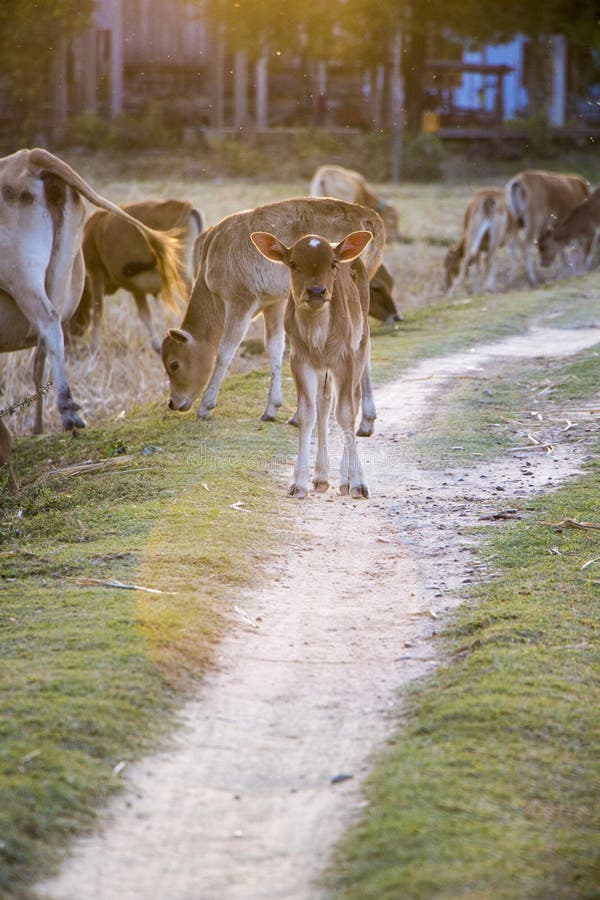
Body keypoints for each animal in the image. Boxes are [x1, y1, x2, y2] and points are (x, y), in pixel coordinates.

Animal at [0, 148, 184, 434]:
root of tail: (30, 157)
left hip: (23, 278)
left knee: (48, 325)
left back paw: (65, 411)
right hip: (59, 274)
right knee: (43, 352)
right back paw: (40, 427)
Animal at [70, 199, 204, 352]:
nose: (69, 341)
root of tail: (187, 207)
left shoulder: (96, 275)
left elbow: (98, 311)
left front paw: (94, 347)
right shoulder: (137, 290)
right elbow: (145, 316)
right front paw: (157, 346)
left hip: (182, 272)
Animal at [161, 197, 385, 434]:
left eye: (174, 364)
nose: (173, 402)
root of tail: (368, 215)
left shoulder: (240, 302)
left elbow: (225, 351)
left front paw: (206, 406)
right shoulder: (275, 303)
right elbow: (275, 347)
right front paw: (271, 408)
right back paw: (366, 420)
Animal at [251, 229, 373, 499]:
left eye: (333, 263)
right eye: (293, 263)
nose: (316, 291)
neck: (318, 338)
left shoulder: (344, 357)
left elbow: (346, 413)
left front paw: (359, 484)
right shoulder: (299, 360)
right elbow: (307, 413)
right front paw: (298, 484)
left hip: (361, 344)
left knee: (353, 400)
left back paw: (345, 479)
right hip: (321, 369)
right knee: (324, 405)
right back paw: (321, 477)